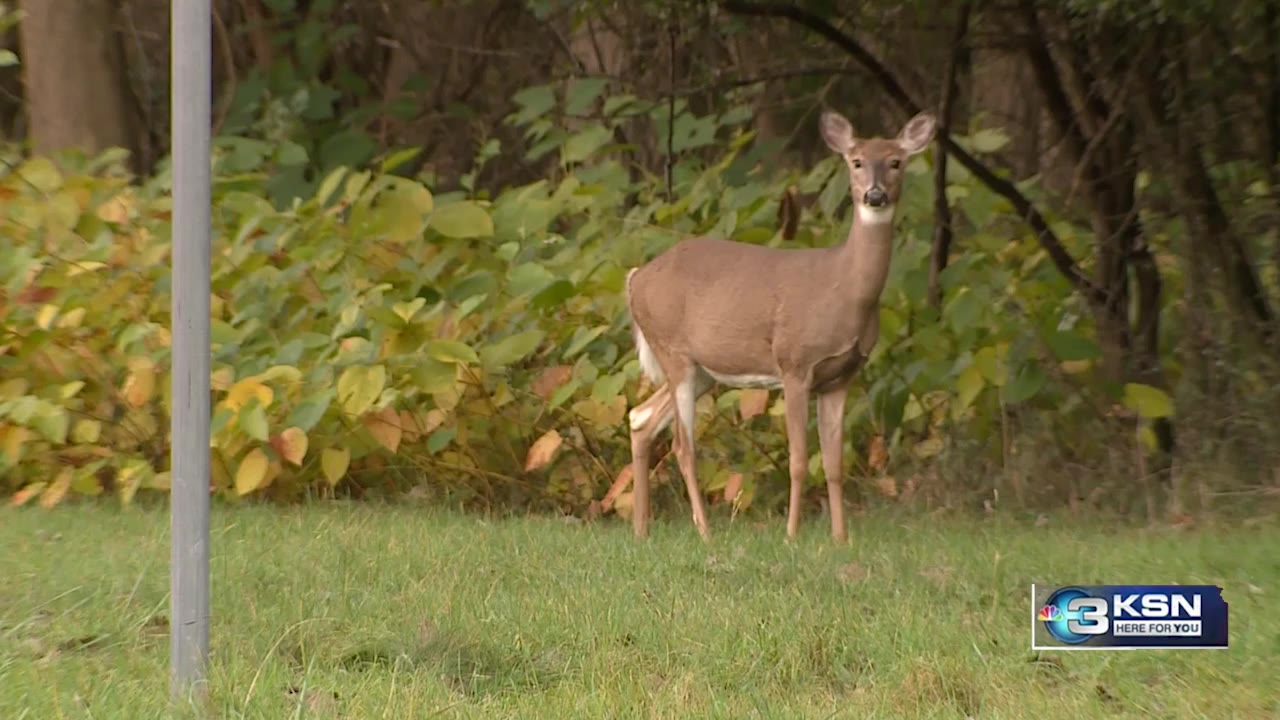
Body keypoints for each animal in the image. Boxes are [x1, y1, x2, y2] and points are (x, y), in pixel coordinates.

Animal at [622, 107, 937, 543]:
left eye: (896, 161)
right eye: (856, 161)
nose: (875, 195)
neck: (844, 289)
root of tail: (636, 278)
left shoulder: (841, 376)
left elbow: (834, 465)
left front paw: (840, 539)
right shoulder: (795, 363)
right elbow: (799, 459)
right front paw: (791, 535)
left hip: (702, 371)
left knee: (641, 418)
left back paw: (641, 530)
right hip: (673, 351)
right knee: (683, 447)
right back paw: (705, 532)